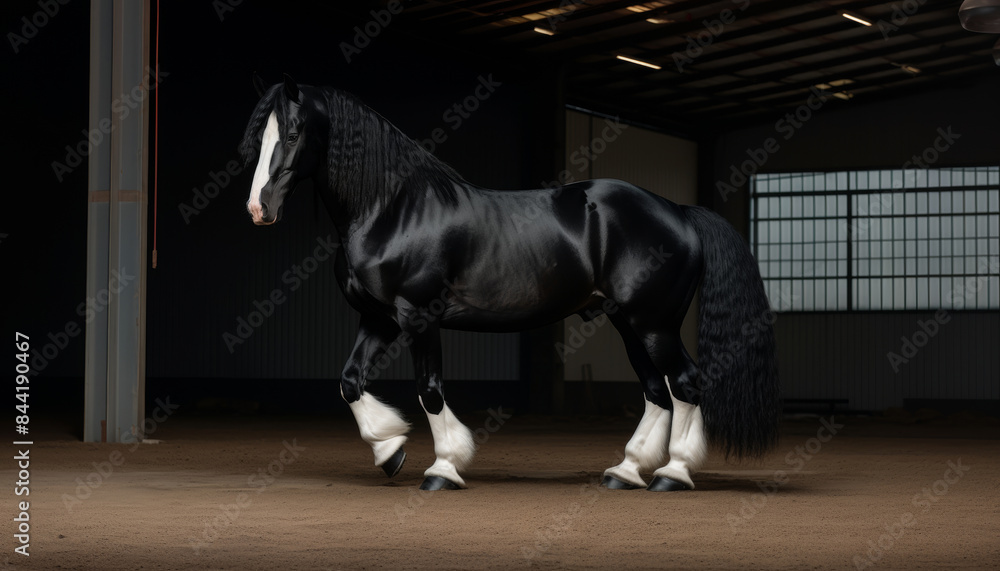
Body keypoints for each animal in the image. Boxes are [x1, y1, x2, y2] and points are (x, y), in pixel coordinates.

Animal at [240, 74, 780, 492]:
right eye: (260, 136)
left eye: (293, 132)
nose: (258, 208)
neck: (393, 210)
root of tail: (679, 211)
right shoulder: (378, 319)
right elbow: (350, 382)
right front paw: (390, 450)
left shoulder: (418, 317)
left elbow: (429, 390)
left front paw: (444, 467)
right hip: (629, 324)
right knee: (657, 392)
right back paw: (625, 471)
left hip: (654, 324)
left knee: (684, 384)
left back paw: (674, 474)